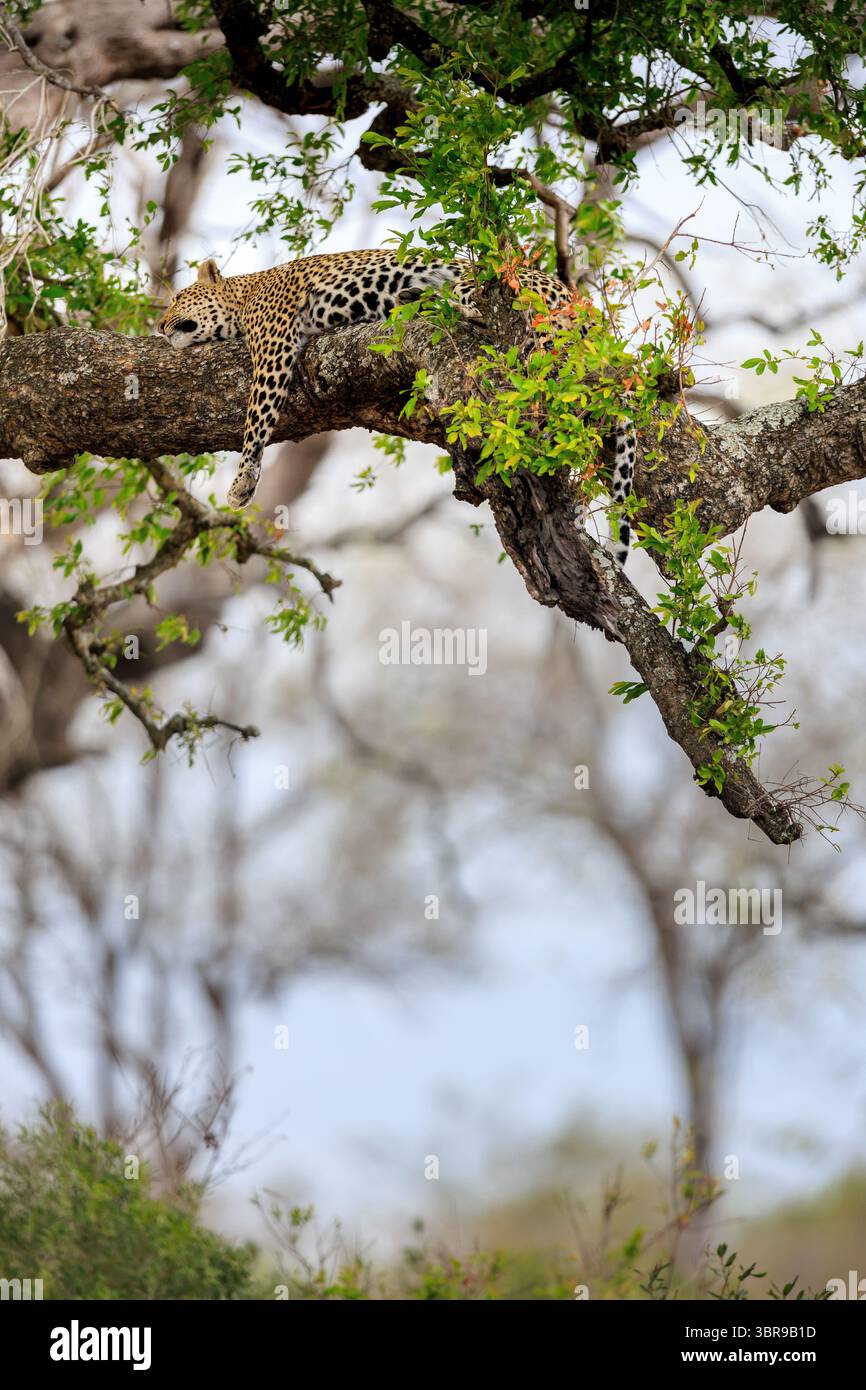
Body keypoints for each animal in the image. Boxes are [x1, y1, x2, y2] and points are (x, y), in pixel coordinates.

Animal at [156, 250, 637, 565]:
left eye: (177, 299)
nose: (159, 327)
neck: (243, 296)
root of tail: (580, 302)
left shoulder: (274, 348)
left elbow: (255, 418)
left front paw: (242, 482)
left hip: (489, 287)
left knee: (488, 315)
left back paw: (424, 299)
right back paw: (412, 298)